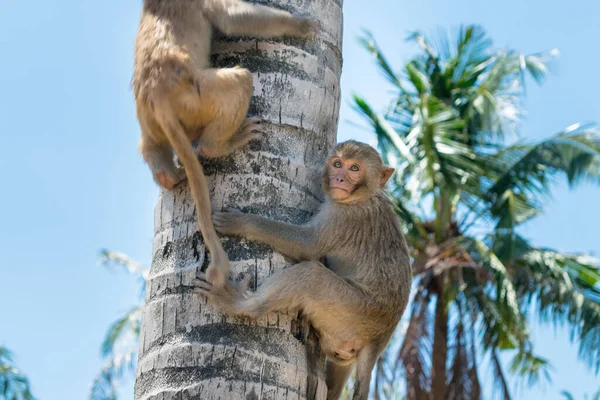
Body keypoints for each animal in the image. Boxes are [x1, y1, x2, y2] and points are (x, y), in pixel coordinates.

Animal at [131, 0, 318, 288]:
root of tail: (158, 92)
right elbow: (232, 18)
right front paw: (300, 25)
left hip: (150, 117)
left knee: (150, 144)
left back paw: (166, 176)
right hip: (201, 95)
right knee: (240, 80)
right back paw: (217, 145)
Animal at [192, 140, 412, 396]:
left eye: (354, 168)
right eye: (337, 164)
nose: (339, 179)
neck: (364, 197)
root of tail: (378, 341)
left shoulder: (344, 217)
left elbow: (308, 245)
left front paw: (241, 222)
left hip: (354, 312)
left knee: (311, 276)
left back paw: (239, 304)